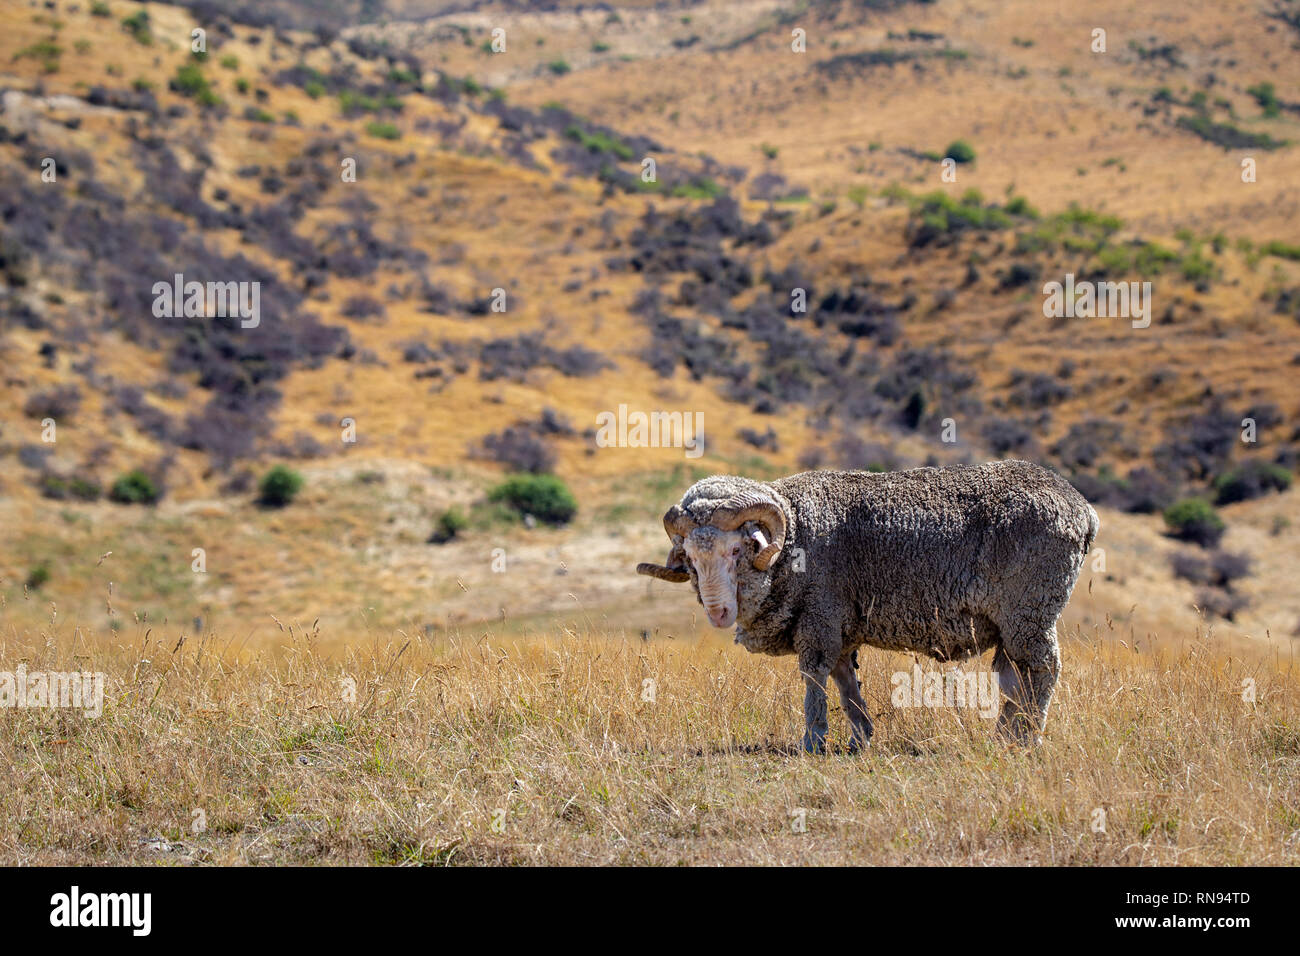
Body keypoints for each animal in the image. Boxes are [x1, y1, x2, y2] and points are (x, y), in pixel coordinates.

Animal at [637, 459, 1099, 751]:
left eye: (738, 549)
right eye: (690, 558)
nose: (718, 613)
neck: (796, 532)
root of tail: (1083, 509)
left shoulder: (819, 615)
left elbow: (815, 677)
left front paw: (813, 739)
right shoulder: (838, 622)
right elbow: (845, 680)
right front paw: (861, 735)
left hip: (1030, 607)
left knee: (1042, 670)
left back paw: (1028, 738)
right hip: (1013, 620)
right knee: (1015, 678)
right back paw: (1005, 736)